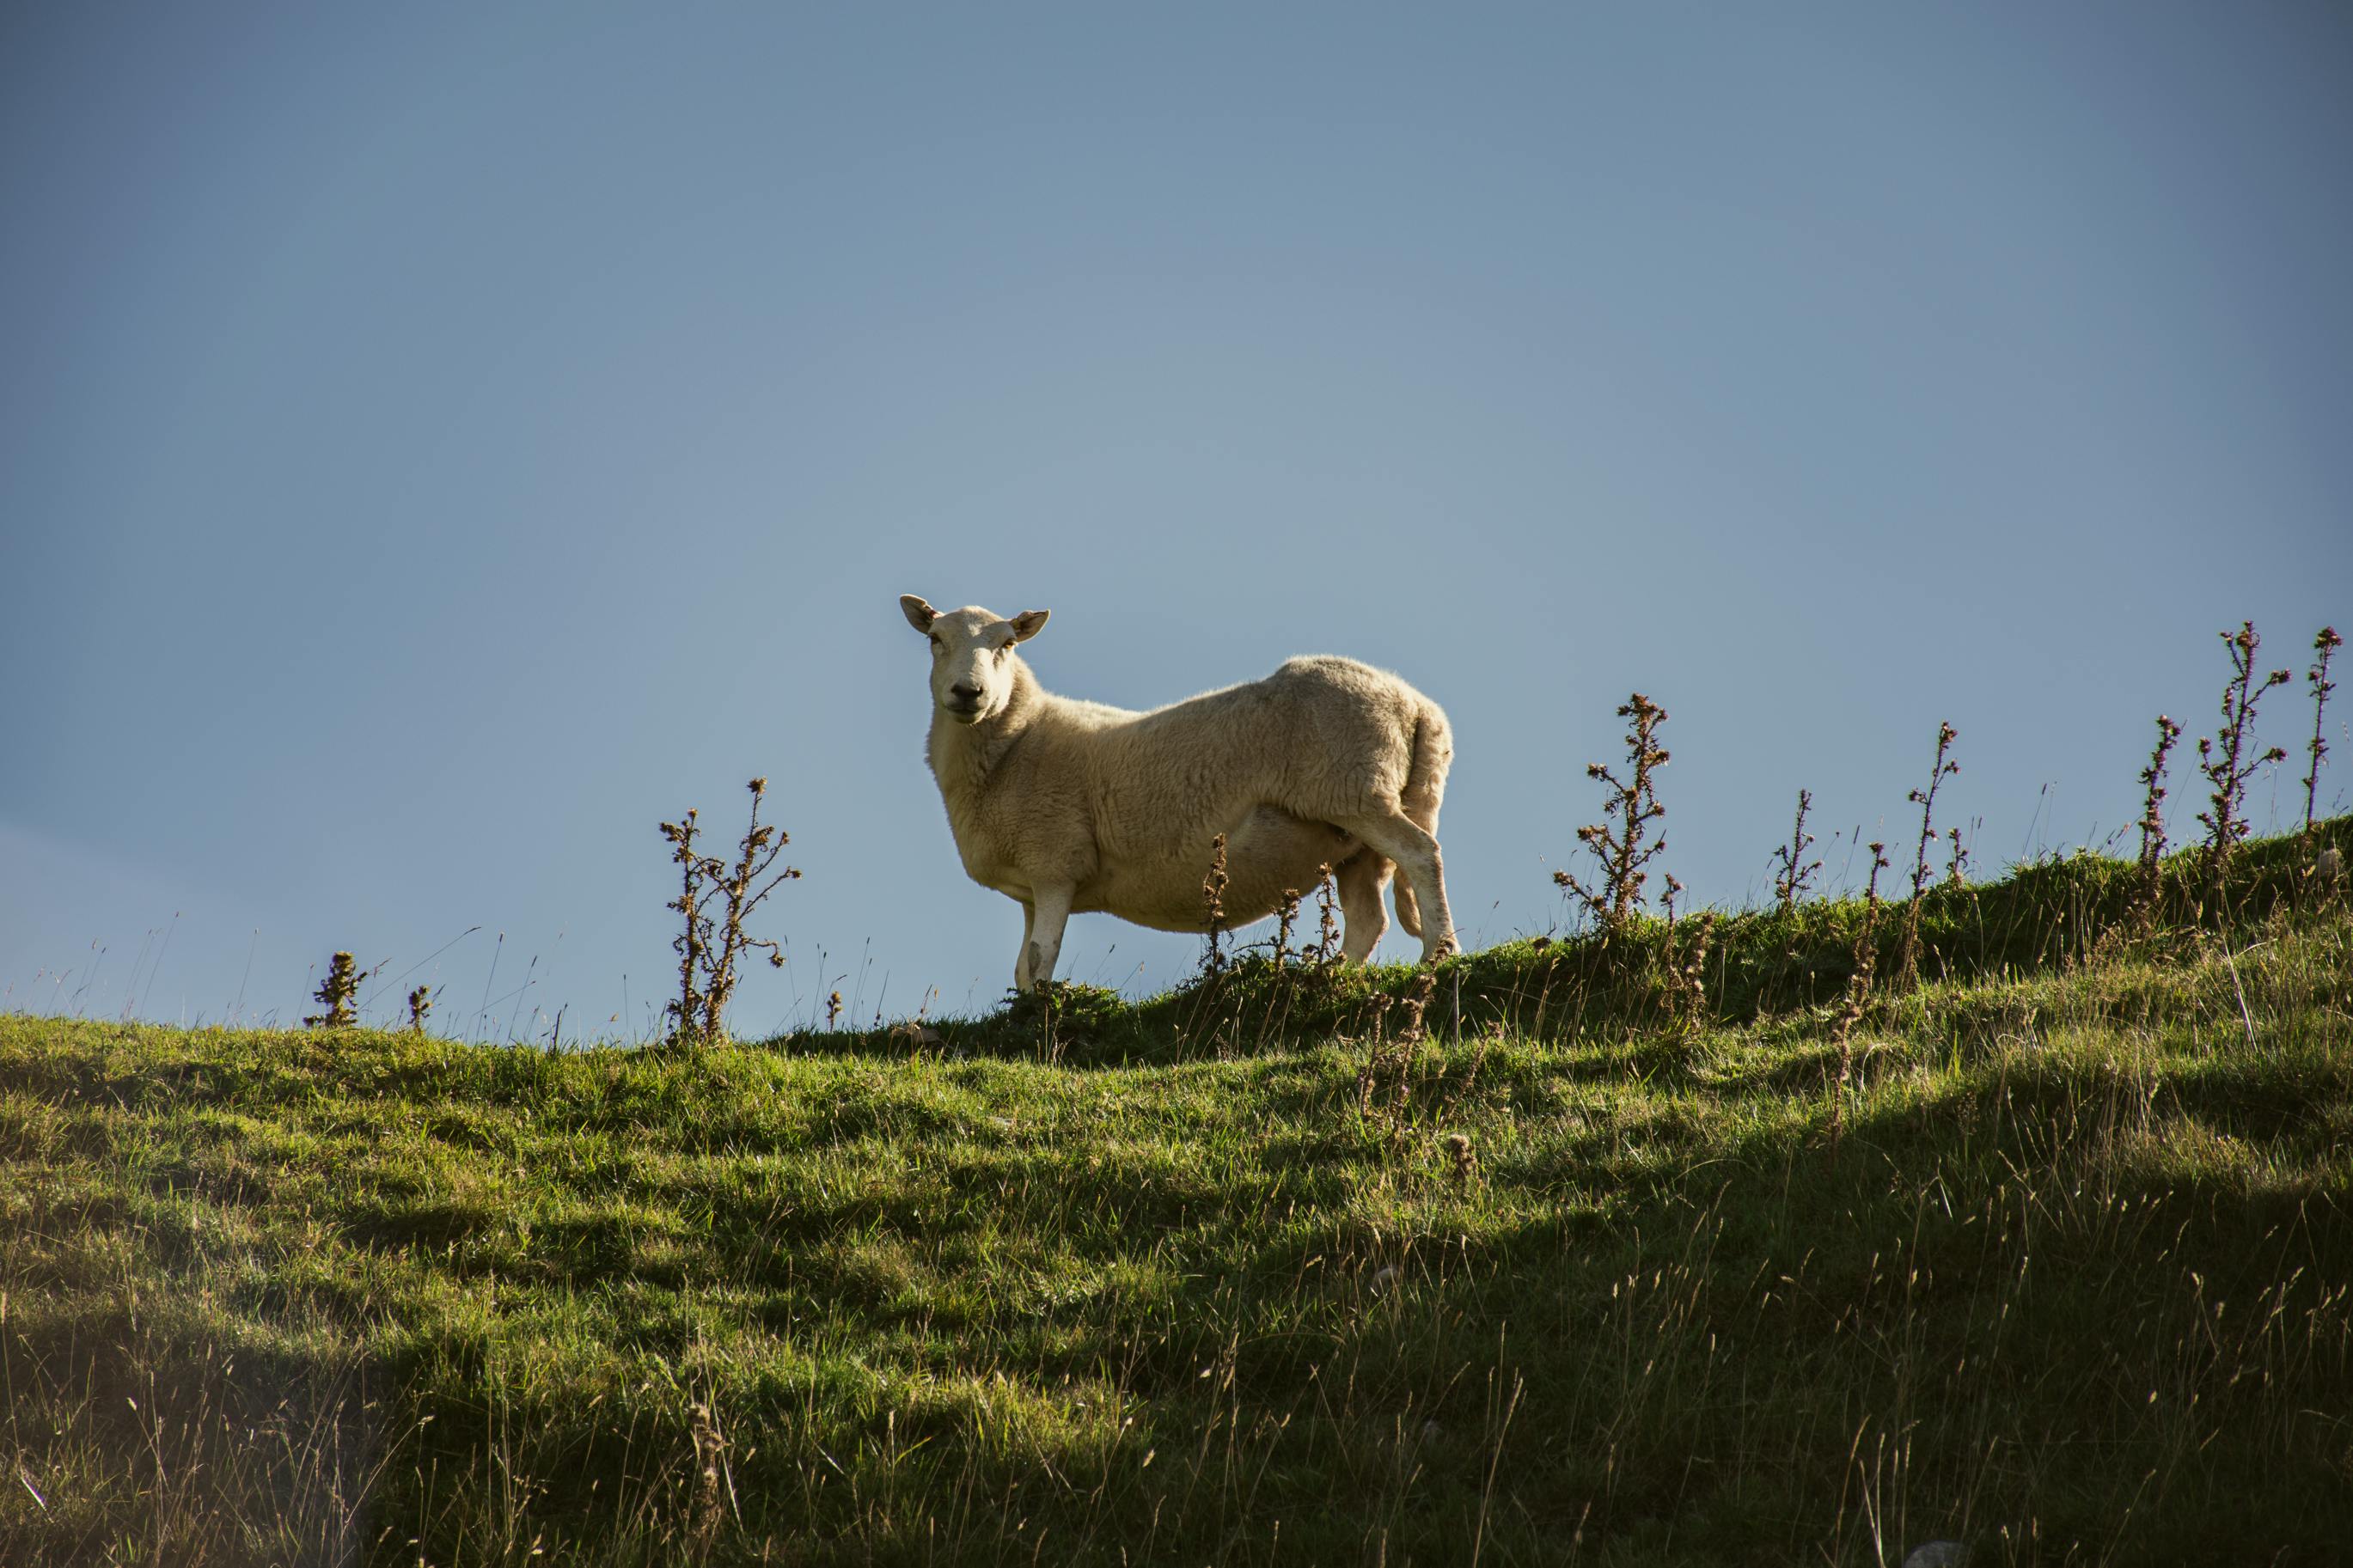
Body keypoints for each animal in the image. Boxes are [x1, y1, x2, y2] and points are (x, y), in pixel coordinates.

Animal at [899, 594, 1458, 992]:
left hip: (1358, 793)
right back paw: (1333, 976)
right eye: (935, 639)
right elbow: (1022, 967)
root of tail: (1418, 707)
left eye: (1008, 645)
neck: (1019, 738)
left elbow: (1040, 961)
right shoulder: (1033, 884)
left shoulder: (1055, 863)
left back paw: (1438, 952)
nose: (968, 693)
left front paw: (1038, 1015)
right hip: (1354, 838)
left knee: (1421, 854)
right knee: (1369, 918)